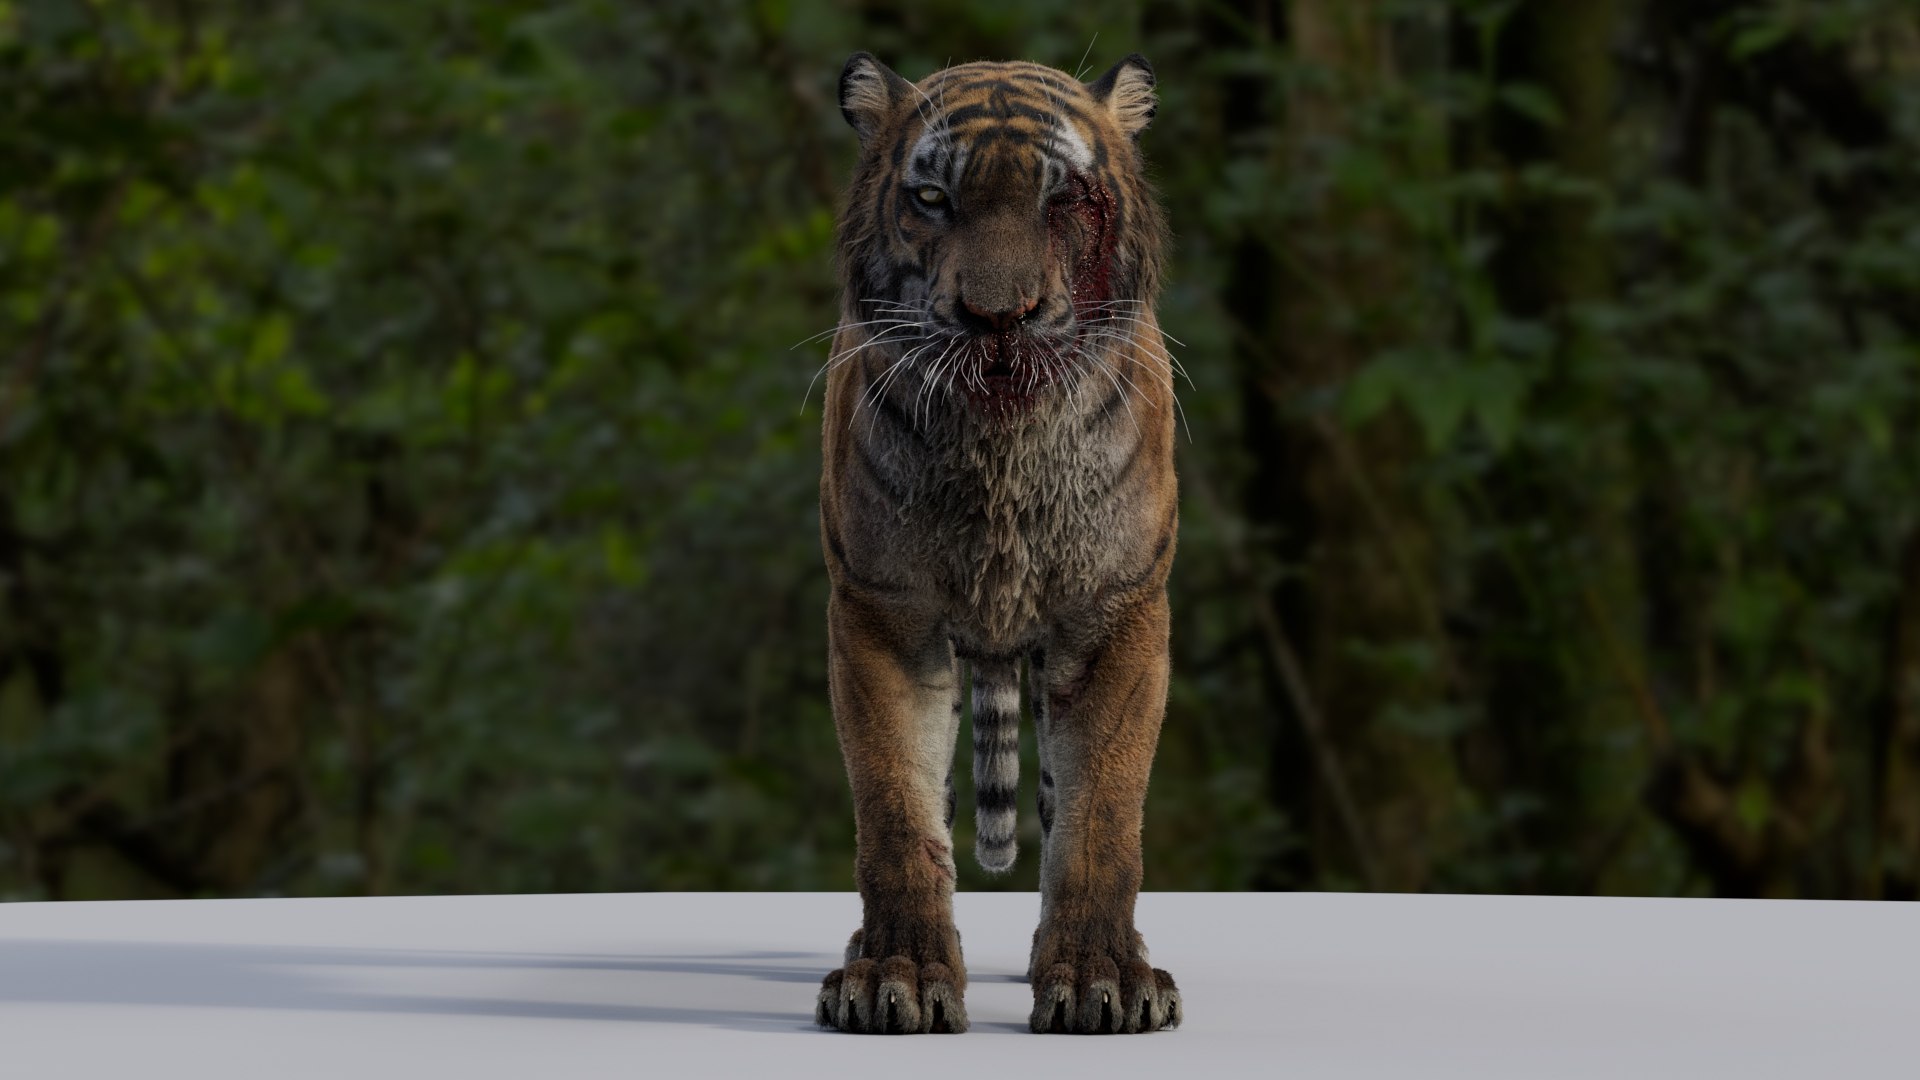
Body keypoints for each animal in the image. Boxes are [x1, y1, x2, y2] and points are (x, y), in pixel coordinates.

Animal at [811, 51, 1183, 1036]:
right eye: (933, 198)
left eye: (1064, 201)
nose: (999, 317)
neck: (1002, 457)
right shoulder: (884, 618)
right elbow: (897, 815)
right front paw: (896, 976)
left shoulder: (1114, 616)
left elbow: (1101, 819)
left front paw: (1100, 979)